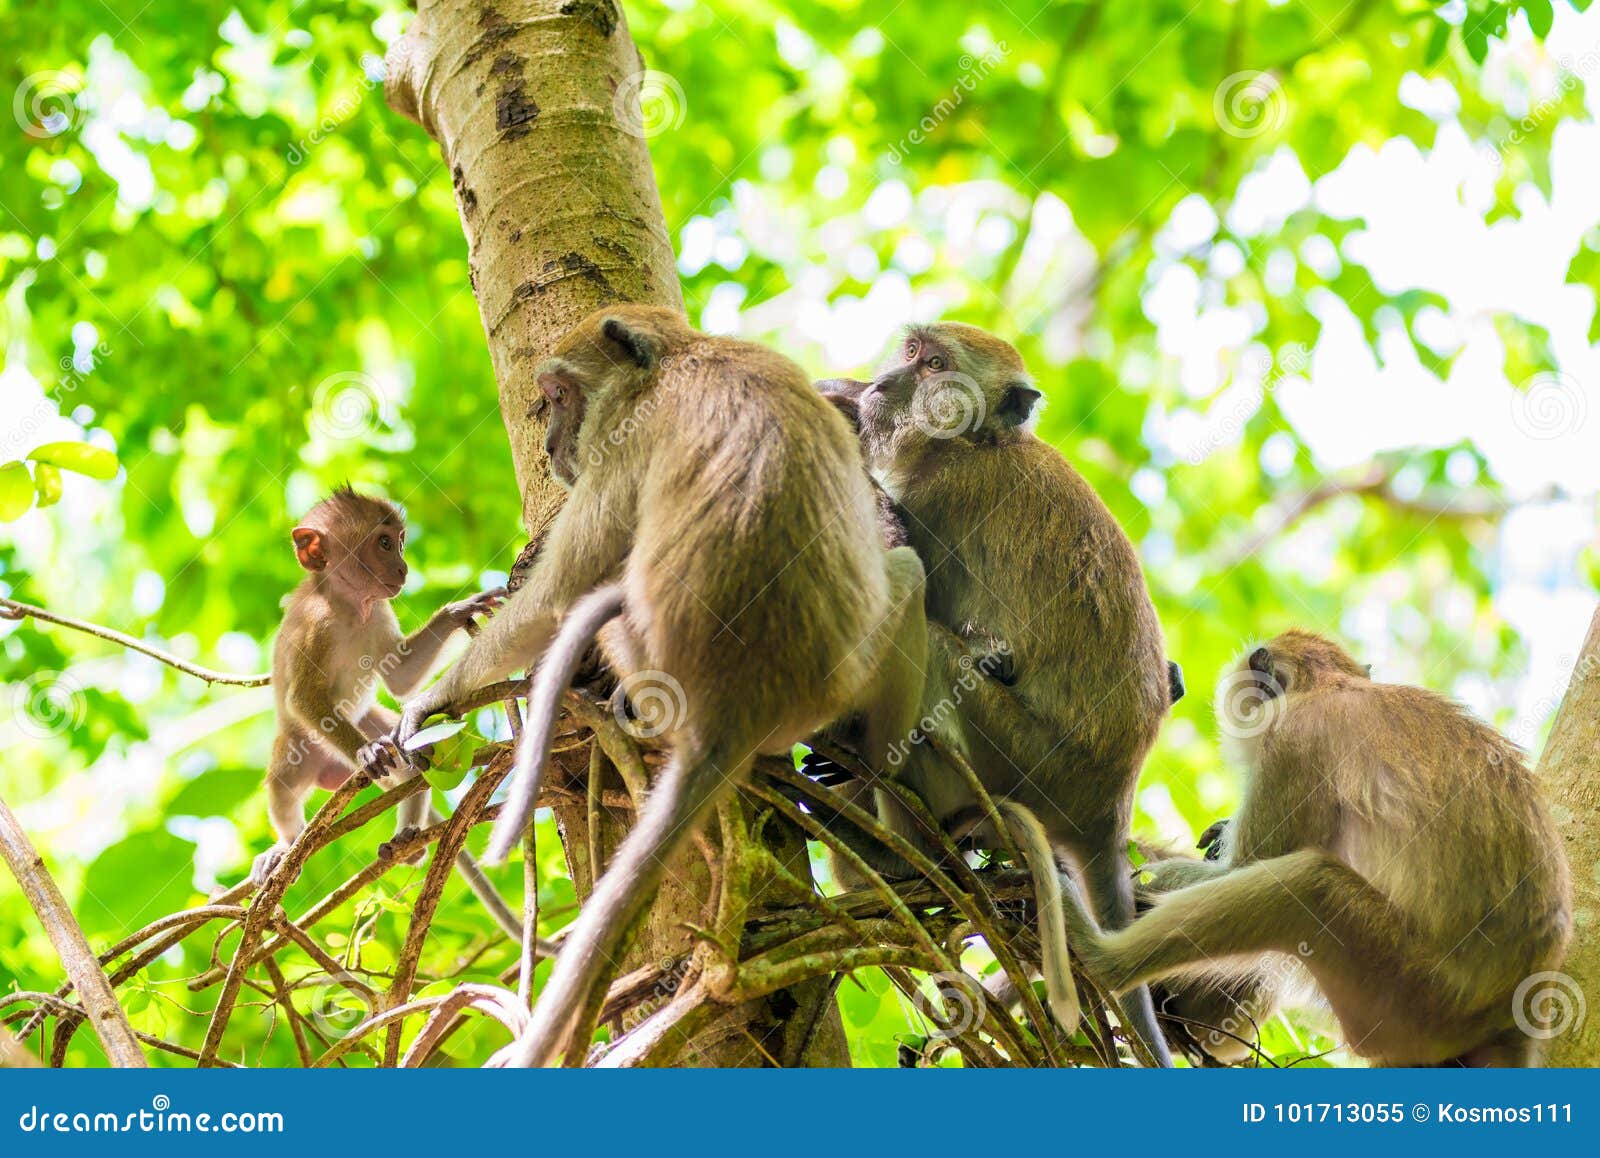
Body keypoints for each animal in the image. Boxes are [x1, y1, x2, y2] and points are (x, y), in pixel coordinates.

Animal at [254, 487, 506, 892]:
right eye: (384, 544)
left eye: (399, 543)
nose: (403, 568)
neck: (350, 608)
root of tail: (331, 768)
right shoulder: (315, 624)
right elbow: (303, 697)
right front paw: (367, 751)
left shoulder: (381, 612)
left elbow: (401, 677)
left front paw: (459, 610)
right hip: (302, 745)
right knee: (283, 784)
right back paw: (286, 847)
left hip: (366, 722)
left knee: (410, 761)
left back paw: (409, 840)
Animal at [360, 305, 929, 1067]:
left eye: (559, 396)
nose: (551, 441)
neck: (685, 357)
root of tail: (735, 709)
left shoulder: (620, 445)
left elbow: (556, 597)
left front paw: (429, 699)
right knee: (906, 576)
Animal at [809, 324, 1177, 1065]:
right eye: (911, 353)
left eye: (936, 366)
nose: (885, 383)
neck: (977, 445)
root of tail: (1111, 799)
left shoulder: (940, 495)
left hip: (1027, 759)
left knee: (933, 647)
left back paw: (897, 856)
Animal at [1056, 630, 1573, 1067]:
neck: (1330, 686)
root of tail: (1512, 1009)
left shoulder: (1291, 740)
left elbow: (1245, 866)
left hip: (1416, 995)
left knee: (1310, 885)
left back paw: (1103, 957)